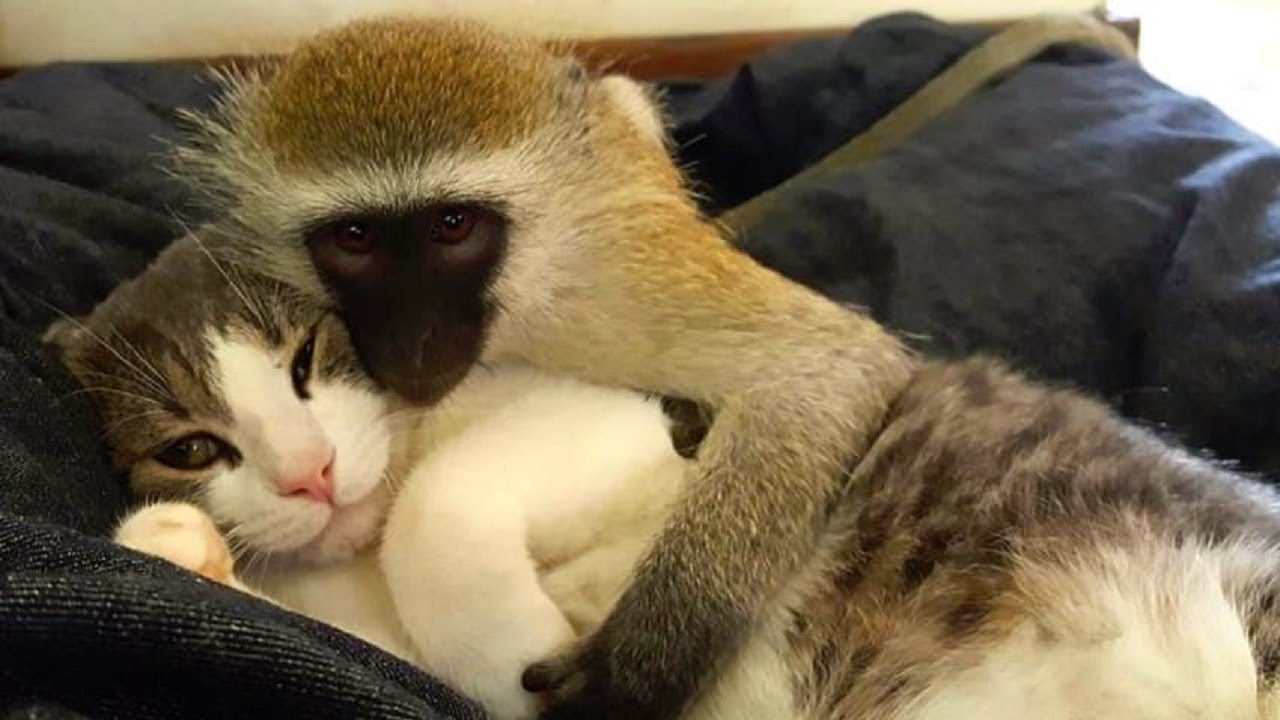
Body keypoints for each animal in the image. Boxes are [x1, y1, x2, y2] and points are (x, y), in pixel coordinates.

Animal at [168, 17, 1280, 720]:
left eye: (450, 230)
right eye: (354, 240)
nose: (411, 349)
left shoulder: (609, 288)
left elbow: (826, 371)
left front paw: (638, 668)